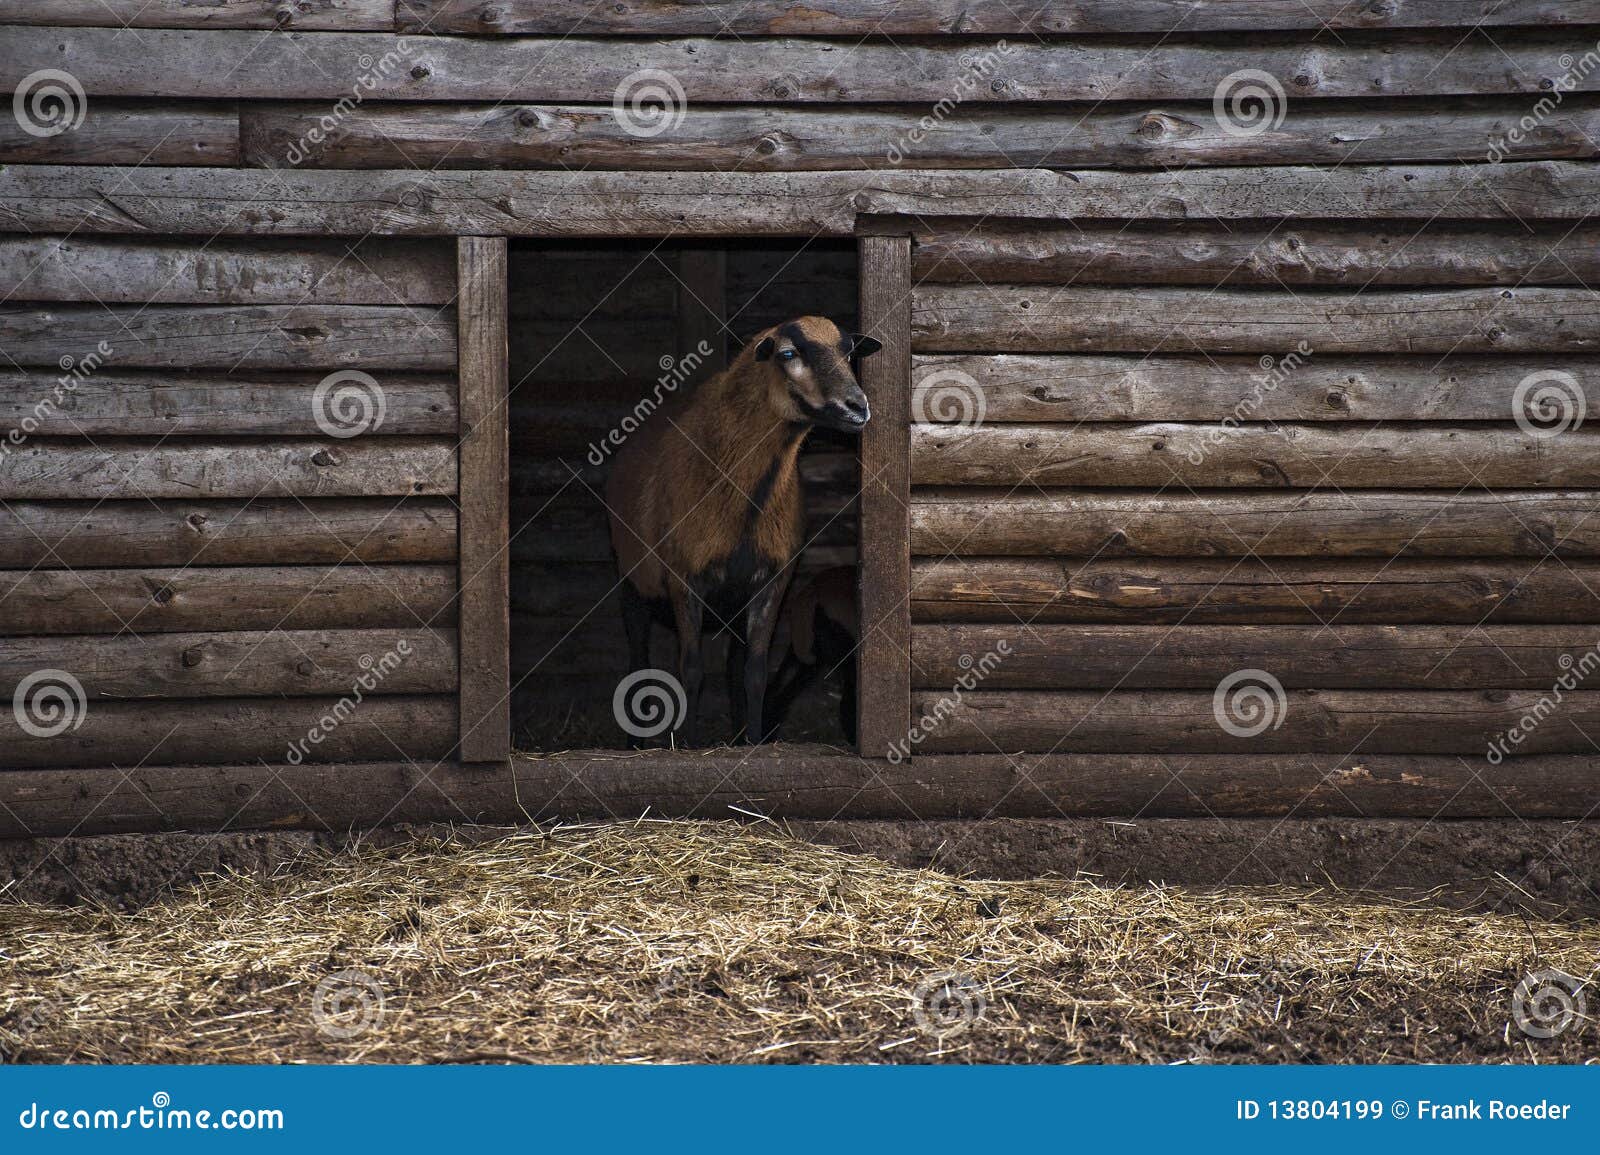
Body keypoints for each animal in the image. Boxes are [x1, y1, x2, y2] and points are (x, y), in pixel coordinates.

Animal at [605, 316, 879, 744]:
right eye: (788, 353)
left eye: (849, 352)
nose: (858, 406)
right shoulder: (683, 578)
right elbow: (691, 670)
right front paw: (687, 744)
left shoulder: (772, 580)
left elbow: (754, 672)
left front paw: (751, 742)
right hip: (631, 580)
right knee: (637, 659)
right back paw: (636, 745)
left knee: (736, 666)